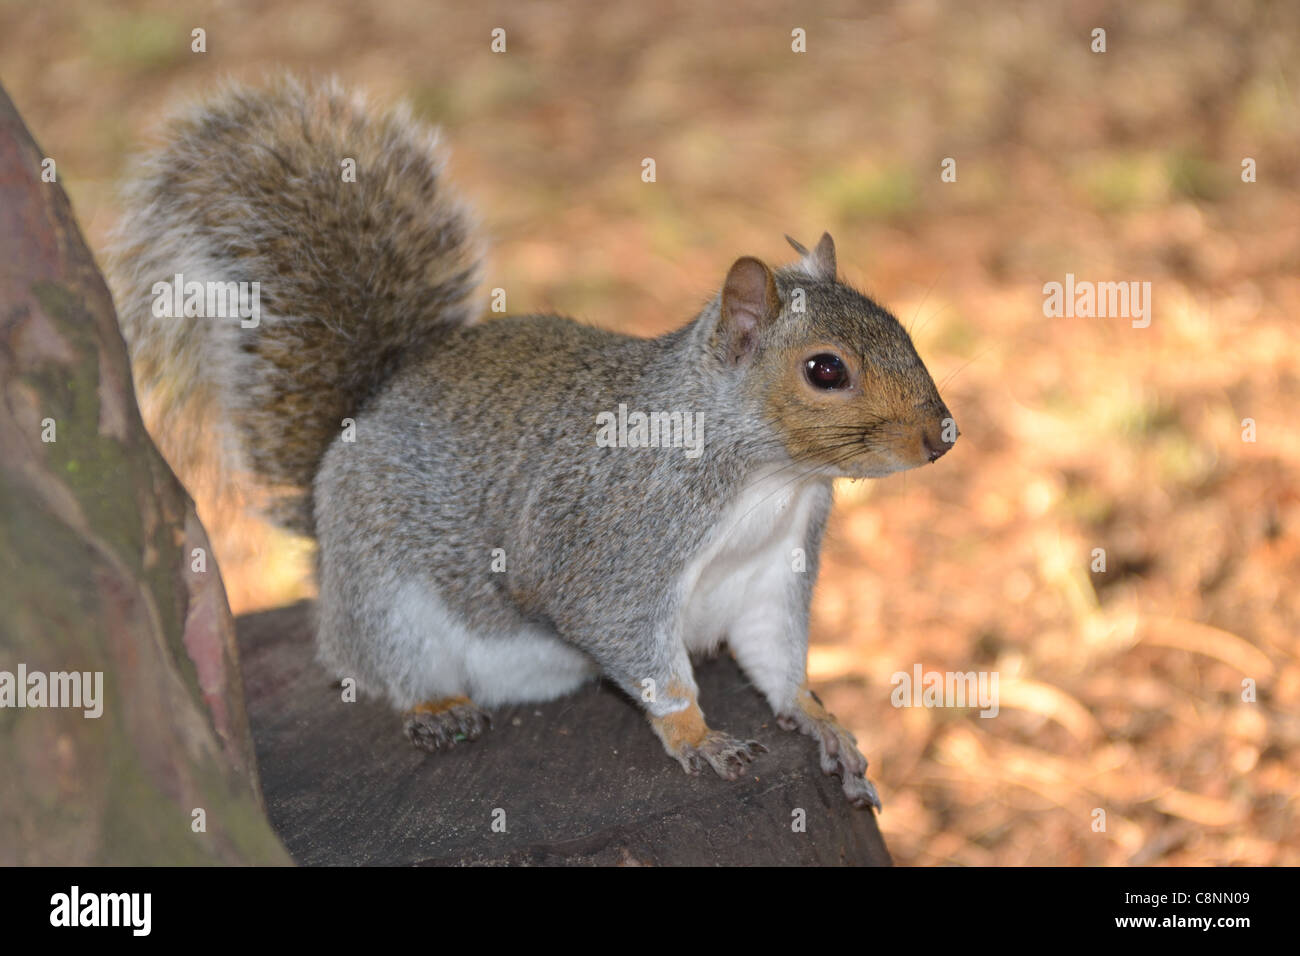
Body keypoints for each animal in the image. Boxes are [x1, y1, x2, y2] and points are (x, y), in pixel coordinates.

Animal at [108, 76, 957, 810]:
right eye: (825, 370)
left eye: (899, 327)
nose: (941, 435)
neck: (769, 477)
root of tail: (353, 427)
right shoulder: (611, 553)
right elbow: (642, 656)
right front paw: (699, 737)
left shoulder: (773, 570)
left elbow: (776, 655)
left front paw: (818, 719)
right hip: (384, 595)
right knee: (380, 663)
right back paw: (438, 708)